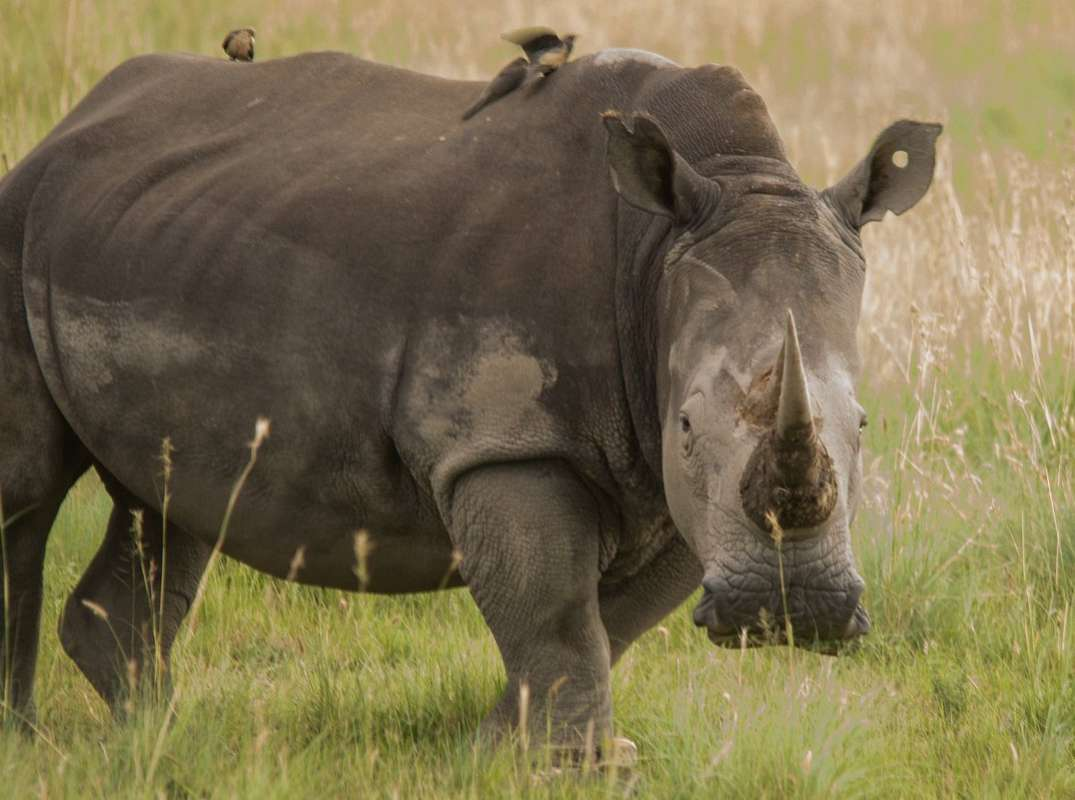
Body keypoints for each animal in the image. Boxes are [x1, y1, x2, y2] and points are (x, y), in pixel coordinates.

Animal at [0, 48, 940, 751]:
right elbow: (556, 609)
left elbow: (605, 624)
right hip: (18, 223)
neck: (657, 249)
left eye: (862, 424)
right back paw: (34, 741)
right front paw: (576, 766)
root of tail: (66, 124)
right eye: (685, 424)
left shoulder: (668, 487)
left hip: (160, 237)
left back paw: (156, 737)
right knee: (29, 494)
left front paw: (505, 752)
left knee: (174, 499)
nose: (788, 614)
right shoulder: (507, 441)